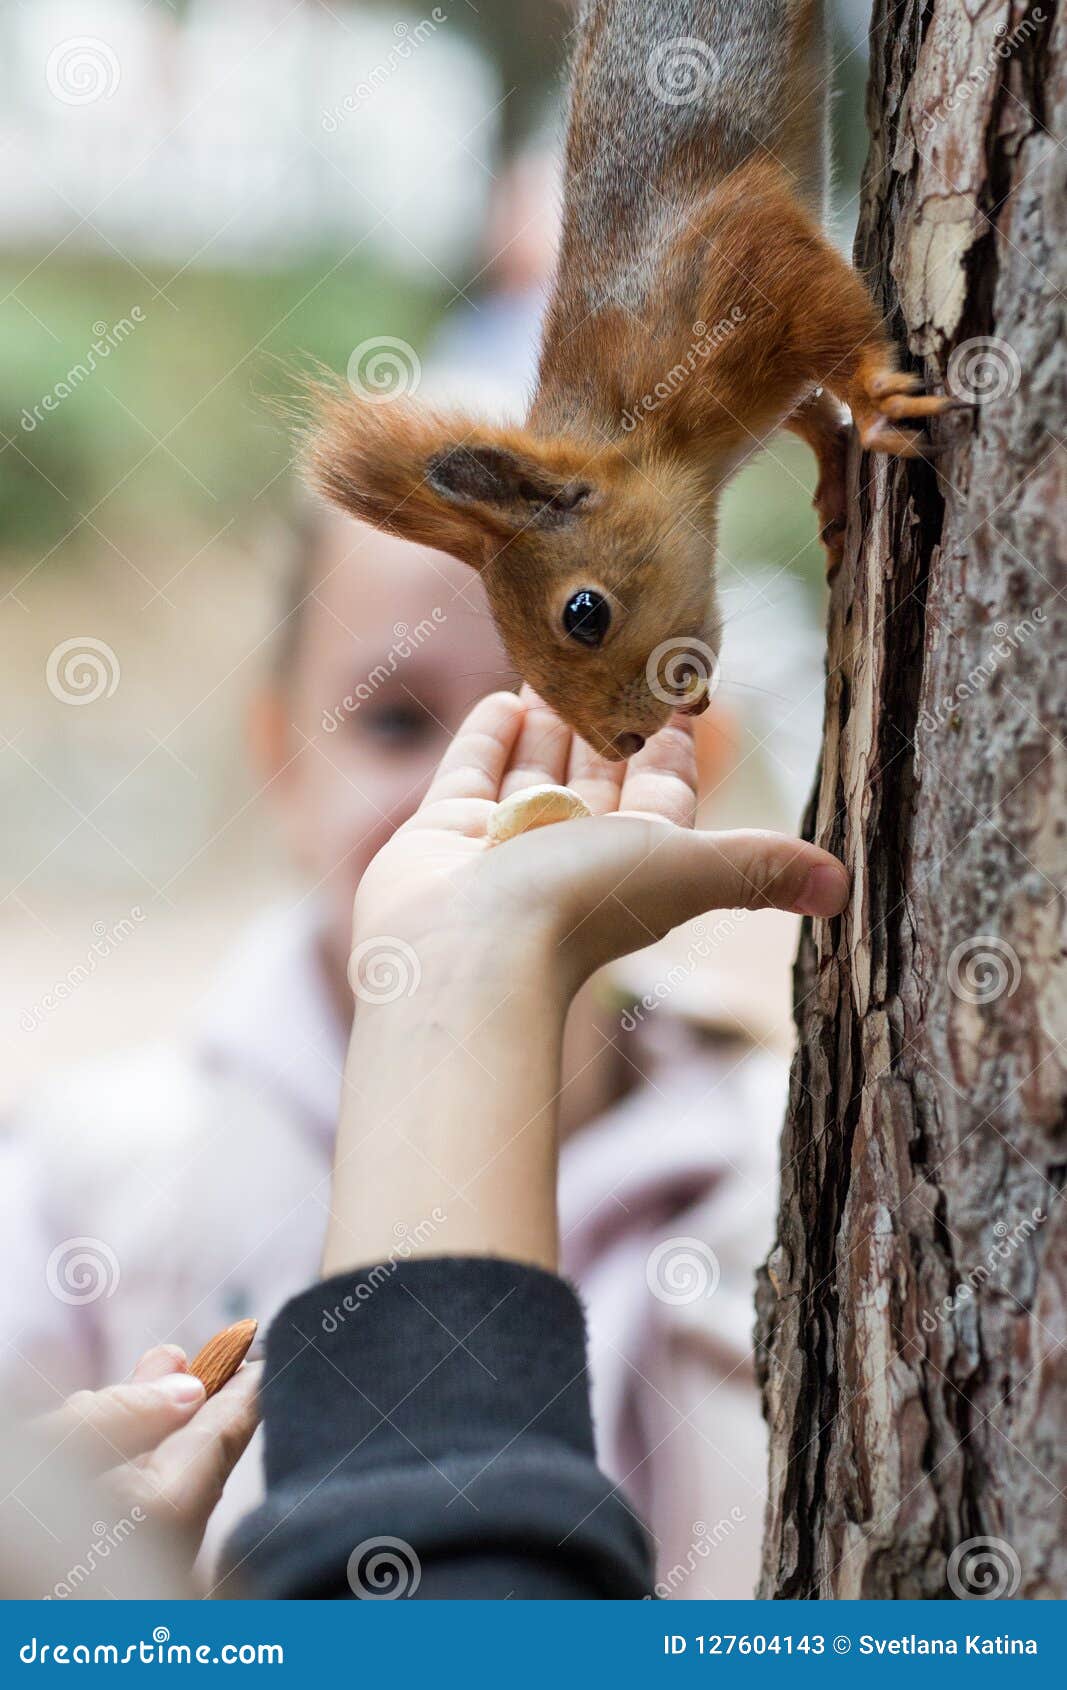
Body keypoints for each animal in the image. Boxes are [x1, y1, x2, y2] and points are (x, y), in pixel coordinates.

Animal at [306, 1, 955, 760]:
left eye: (584, 613)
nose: (621, 744)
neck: (643, 428)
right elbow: (809, 412)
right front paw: (832, 482)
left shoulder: (732, 259)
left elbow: (822, 316)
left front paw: (875, 399)